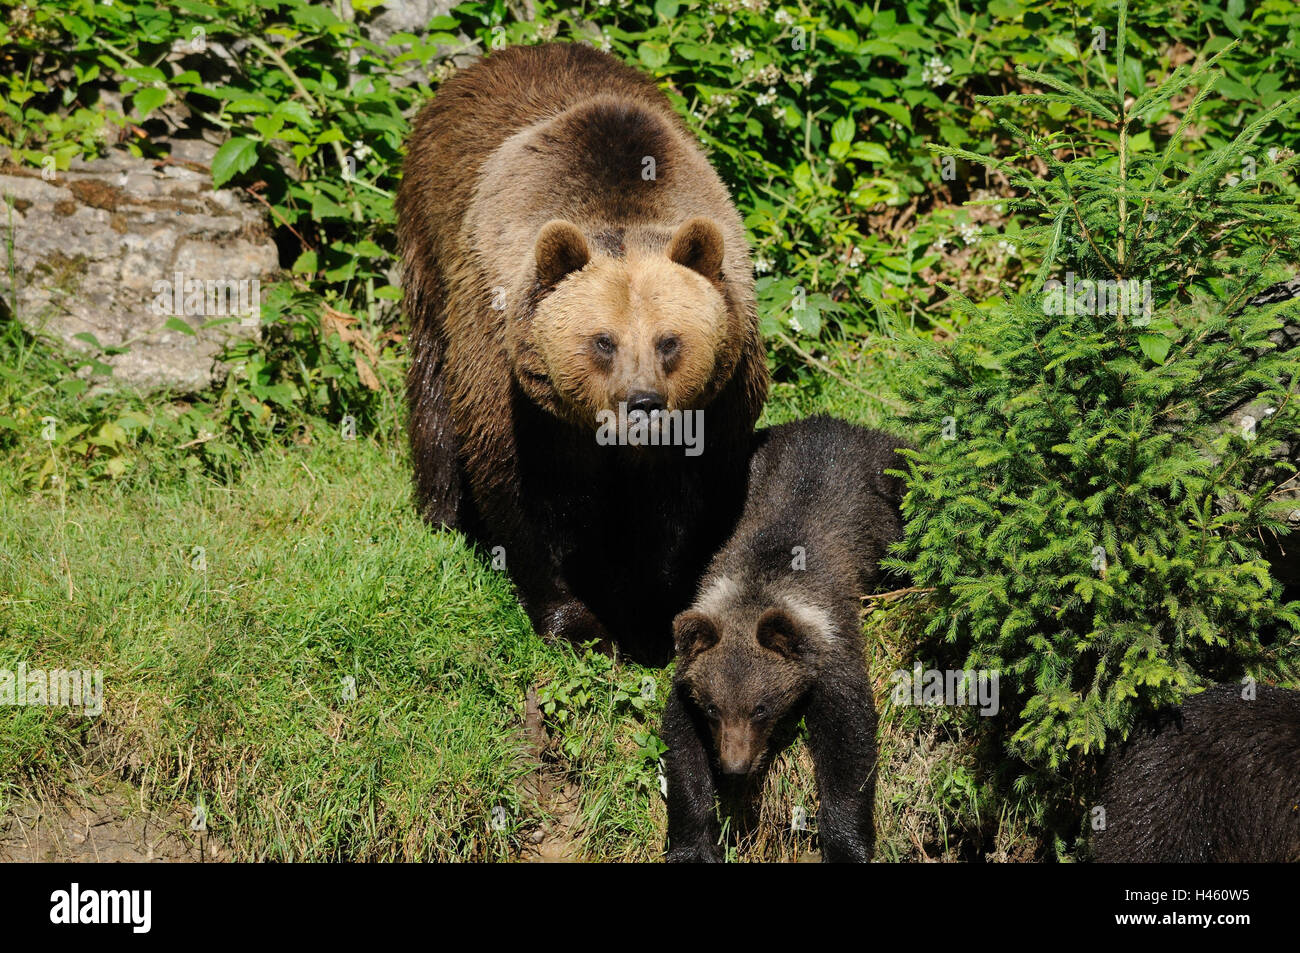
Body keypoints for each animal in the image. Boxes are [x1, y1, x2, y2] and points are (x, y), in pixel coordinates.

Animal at [396, 42, 768, 665]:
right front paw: (579, 625)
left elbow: (683, 505)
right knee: (432, 381)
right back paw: (442, 514)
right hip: (430, 234)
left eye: (669, 341)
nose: (641, 405)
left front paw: (649, 616)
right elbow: (524, 491)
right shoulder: (509, 368)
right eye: (603, 341)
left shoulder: (719, 399)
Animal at [661, 415, 909, 862]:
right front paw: (694, 845)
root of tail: (833, 420)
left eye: (761, 707)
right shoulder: (691, 668)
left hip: (890, 480)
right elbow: (682, 747)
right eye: (713, 708)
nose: (735, 766)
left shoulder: (830, 648)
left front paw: (846, 845)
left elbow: (849, 740)